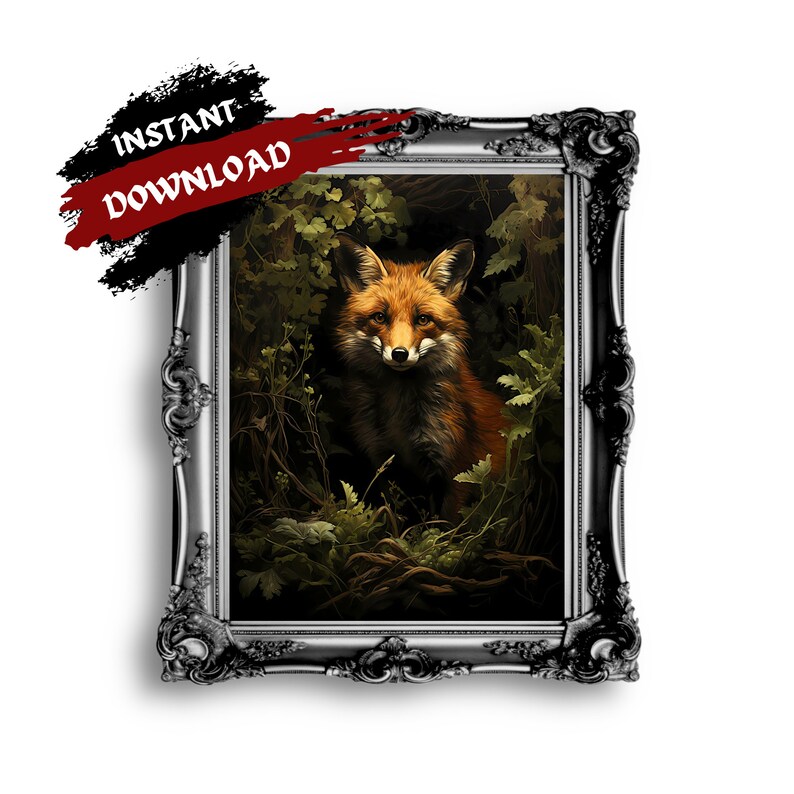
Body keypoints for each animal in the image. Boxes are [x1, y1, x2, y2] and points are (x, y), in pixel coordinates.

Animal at [333, 233, 507, 521]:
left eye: (423, 319)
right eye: (380, 317)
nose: (399, 354)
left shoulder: (456, 471)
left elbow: (445, 525)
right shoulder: (386, 463)